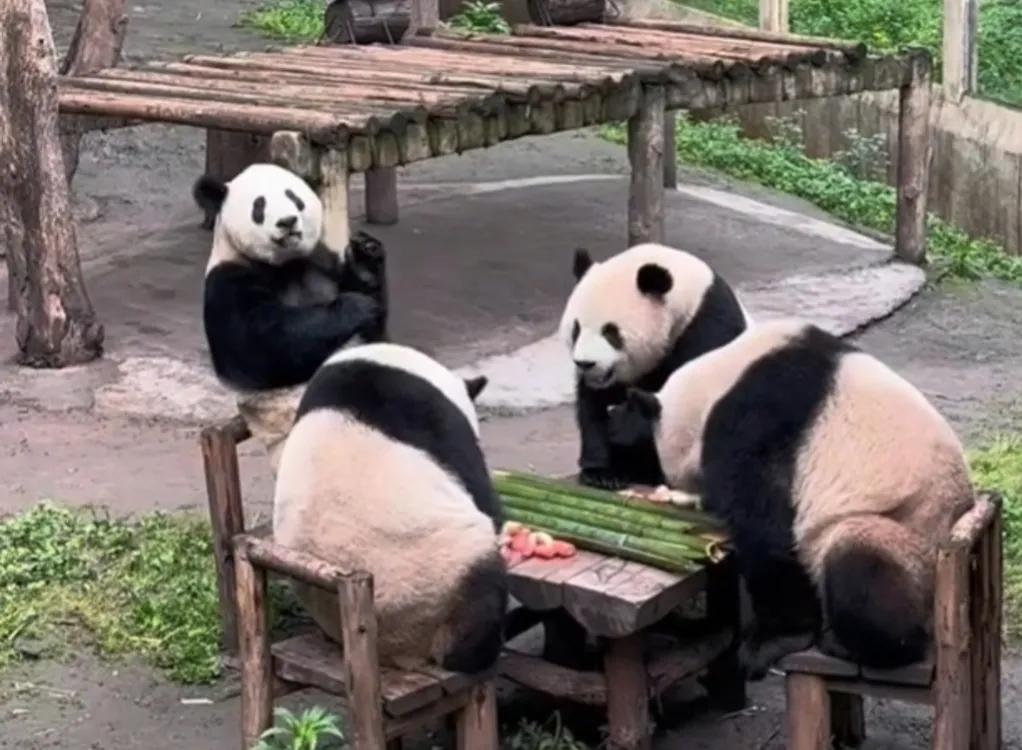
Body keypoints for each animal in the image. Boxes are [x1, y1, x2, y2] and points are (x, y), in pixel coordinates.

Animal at [192, 162, 387, 393]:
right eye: (259, 206)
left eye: (294, 198)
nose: (287, 221)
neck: (286, 262)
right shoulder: (228, 279)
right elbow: (260, 341)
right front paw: (355, 306)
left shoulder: (324, 263)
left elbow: (373, 332)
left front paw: (365, 255)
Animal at [272, 341, 508, 673]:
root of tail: (401, 649)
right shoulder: (433, 418)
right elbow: (482, 495)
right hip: (447, 570)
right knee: (484, 591)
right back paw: (479, 651)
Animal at [559, 242, 749, 490]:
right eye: (576, 329)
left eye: (611, 332)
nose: (585, 363)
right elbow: (592, 405)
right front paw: (601, 473)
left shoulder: (709, 327)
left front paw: (621, 425)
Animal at [604, 319, 975, 677]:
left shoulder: (756, 418)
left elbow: (762, 518)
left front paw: (770, 644)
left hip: (908, 537)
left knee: (860, 563)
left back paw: (853, 644)